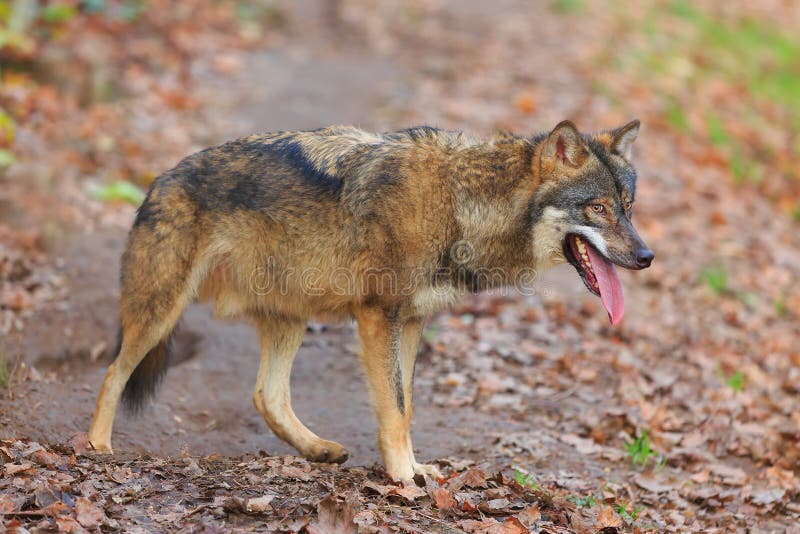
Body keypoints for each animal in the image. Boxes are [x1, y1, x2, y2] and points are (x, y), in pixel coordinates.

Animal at [88, 120, 653, 481]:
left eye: (628, 207)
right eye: (598, 208)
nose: (647, 256)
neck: (461, 204)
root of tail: (159, 180)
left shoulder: (411, 322)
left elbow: (405, 407)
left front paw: (413, 469)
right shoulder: (379, 318)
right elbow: (394, 408)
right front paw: (403, 478)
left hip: (291, 317)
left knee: (267, 395)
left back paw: (318, 450)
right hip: (161, 313)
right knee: (114, 372)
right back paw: (97, 448)